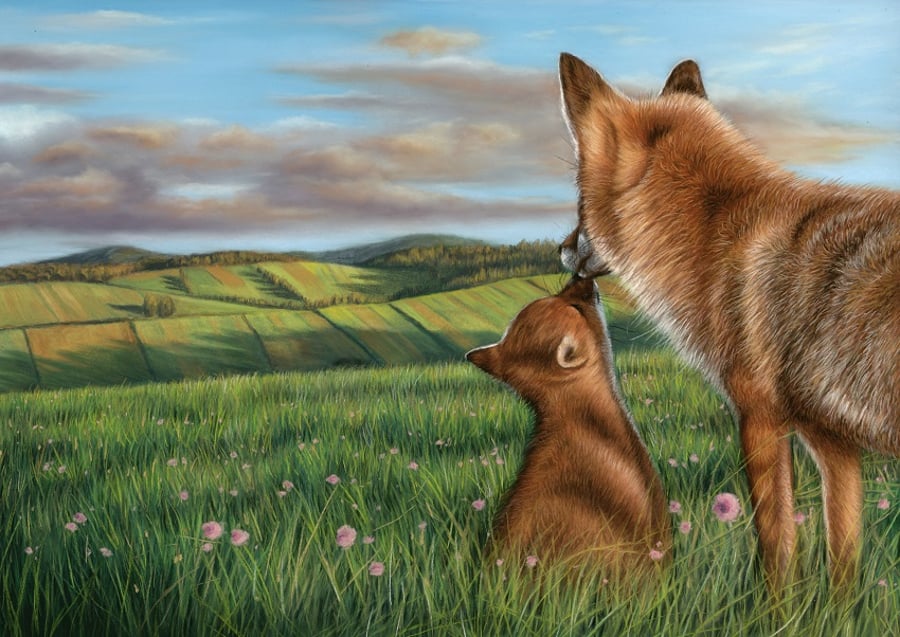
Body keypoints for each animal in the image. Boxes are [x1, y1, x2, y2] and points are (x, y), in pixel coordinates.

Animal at [556, 52, 899, 591]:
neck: (721, 241)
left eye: (578, 199)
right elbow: (844, 562)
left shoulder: (759, 421)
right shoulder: (832, 441)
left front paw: (775, 605)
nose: (562, 248)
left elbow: (777, 556)